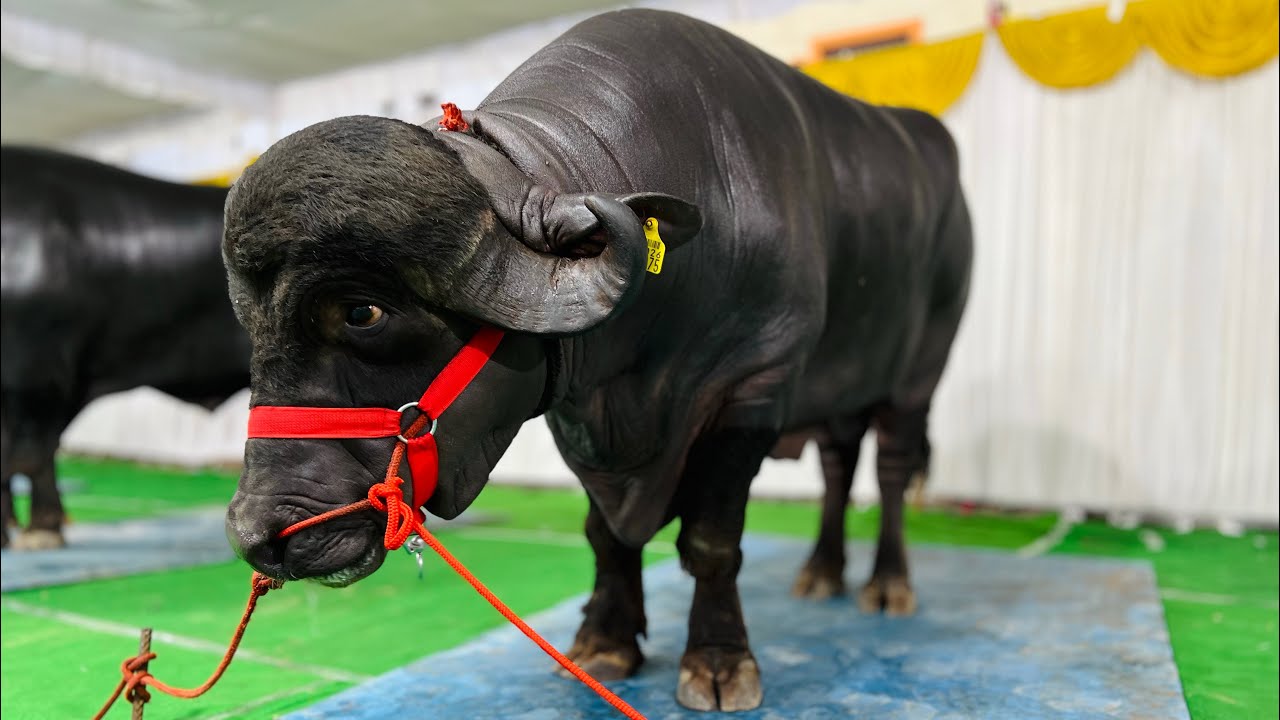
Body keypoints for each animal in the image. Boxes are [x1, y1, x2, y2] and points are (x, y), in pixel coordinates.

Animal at [221, 9, 971, 712]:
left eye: (362, 312)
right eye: (249, 323)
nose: (257, 534)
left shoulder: (755, 387)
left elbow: (711, 538)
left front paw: (720, 662)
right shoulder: (579, 418)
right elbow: (605, 533)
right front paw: (606, 640)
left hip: (919, 375)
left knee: (891, 469)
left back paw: (887, 583)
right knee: (840, 465)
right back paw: (822, 572)